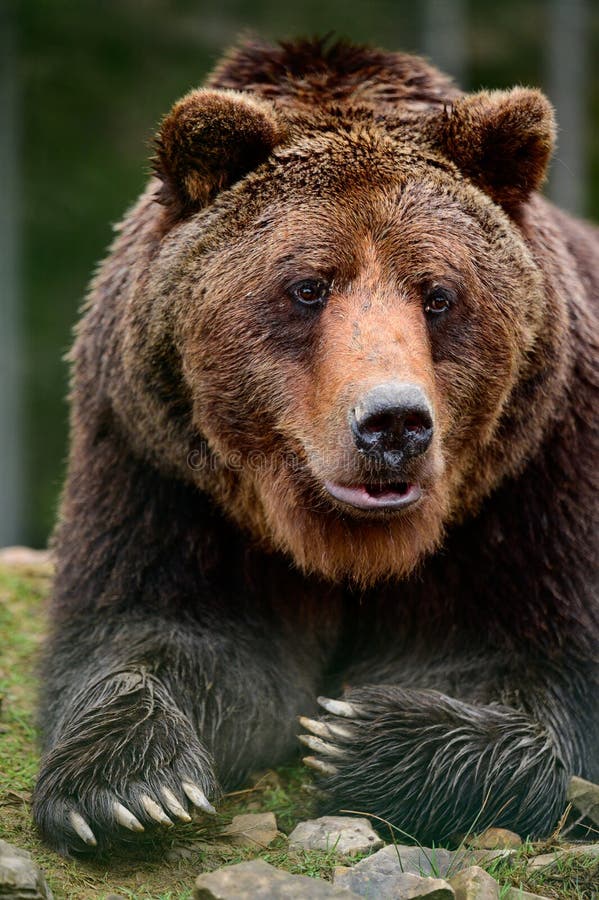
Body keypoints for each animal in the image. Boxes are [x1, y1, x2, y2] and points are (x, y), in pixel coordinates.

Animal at [32, 36, 598, 857]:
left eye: (437, 293)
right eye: (307, 286)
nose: (393, 422)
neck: (345, 545)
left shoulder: (535, 480)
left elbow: (538, 674)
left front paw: (359, 733)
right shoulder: (160, 471)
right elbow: (156, 633)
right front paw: (126, 786)